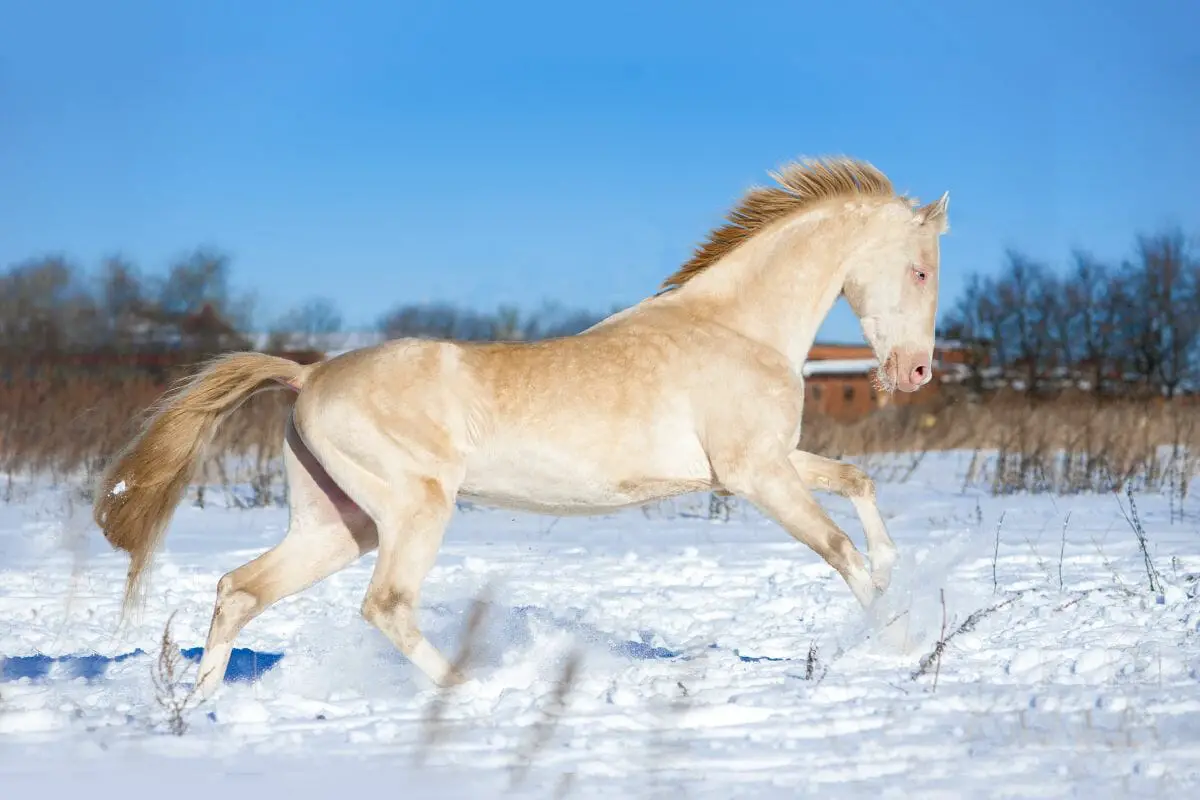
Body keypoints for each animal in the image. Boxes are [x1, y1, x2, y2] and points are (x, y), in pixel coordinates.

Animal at [93, 156, 949, 698]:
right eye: (920, 270)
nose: (914, 373)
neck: (736, 327)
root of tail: (310, 376)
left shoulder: (769, 462)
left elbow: (857, 484)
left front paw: (896, 581)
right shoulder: (752, 474)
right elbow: (839, 550)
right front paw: (897, 639)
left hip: (339, 524)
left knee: (240, 590)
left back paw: (200, 708)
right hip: (414, 511)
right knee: (385, 606)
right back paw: (472, 693)